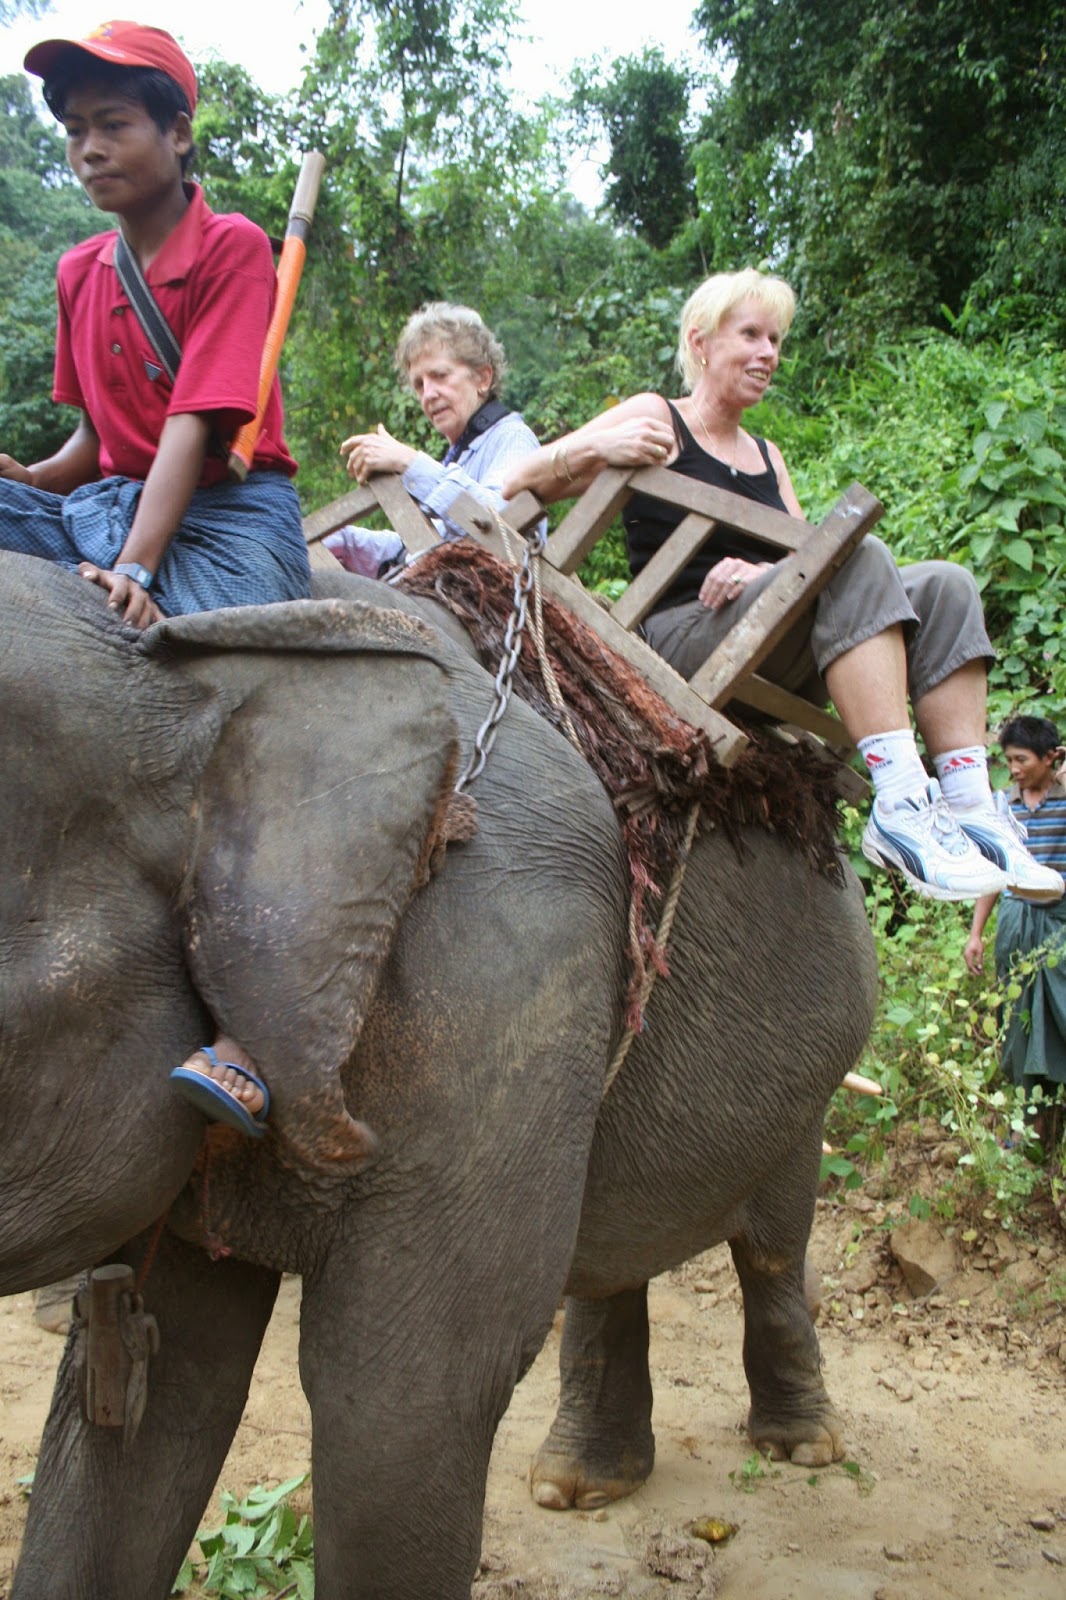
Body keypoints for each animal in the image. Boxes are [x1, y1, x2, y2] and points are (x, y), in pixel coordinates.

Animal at [0, 549, 878, 1600]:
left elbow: (401, 1408)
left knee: (773, 1241)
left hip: (808, 1078)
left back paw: (804, 1448)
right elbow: (148, 1392)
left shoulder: (506, 974)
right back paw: (582, 1485)